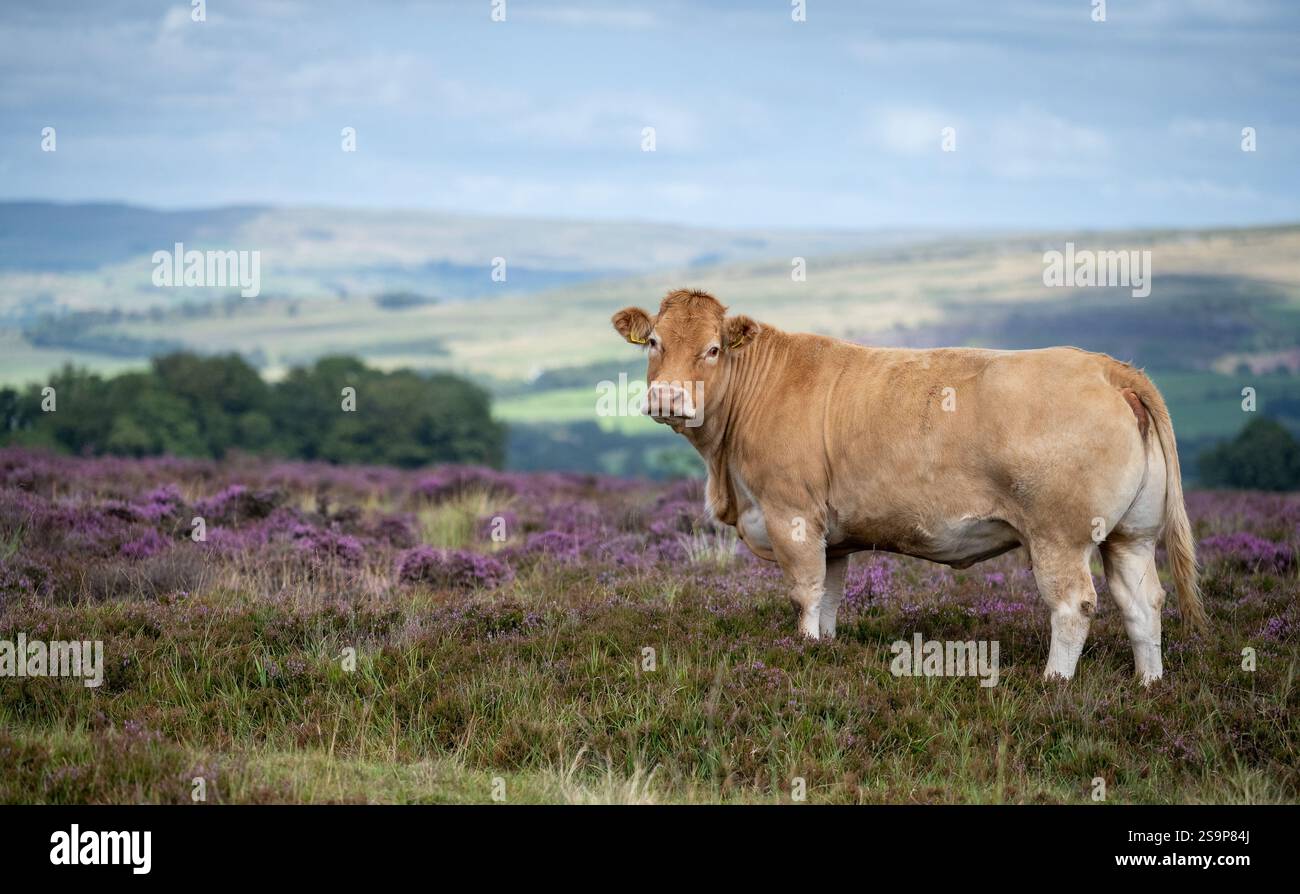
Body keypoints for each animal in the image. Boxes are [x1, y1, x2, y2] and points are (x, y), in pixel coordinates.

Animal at [612, 288, 1205, 683]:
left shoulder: (791, 515)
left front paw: (802, 652)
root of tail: (1109, 367)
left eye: (713, 348)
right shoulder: (833, 534)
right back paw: (1148, 684)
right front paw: (825, 648)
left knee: (1074, 605)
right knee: (1142, 601)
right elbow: (829, 596)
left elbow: (804, 593)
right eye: (654, 342)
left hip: (1060, 535)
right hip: (1131, 534)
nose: (667, 397)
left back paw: (1054, 683)